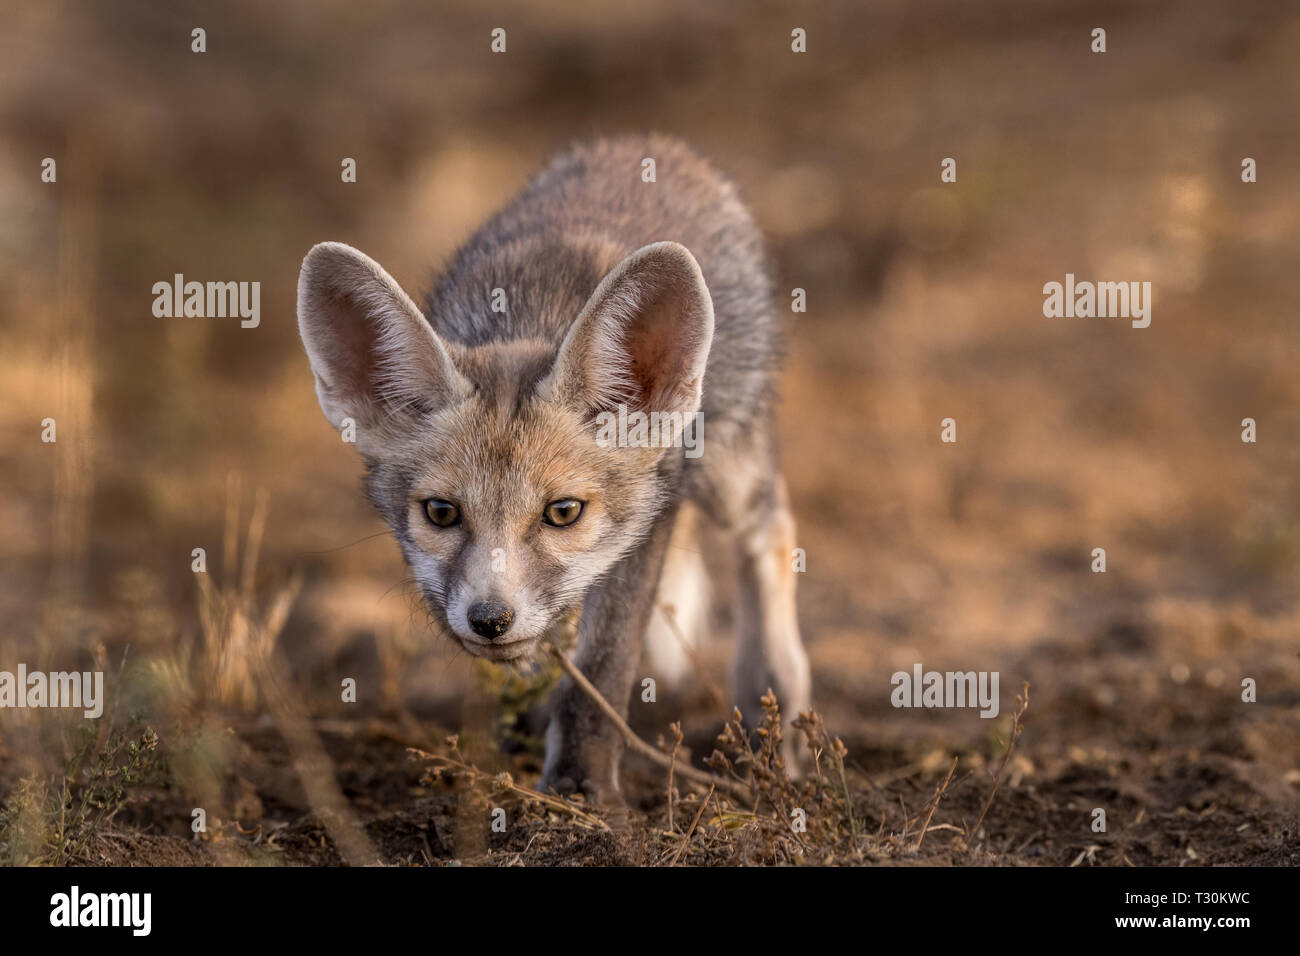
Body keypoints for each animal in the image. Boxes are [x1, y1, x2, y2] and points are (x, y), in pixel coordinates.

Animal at [296, 134, 810, 807]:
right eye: (441, 512)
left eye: (563, 512)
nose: (490, 620)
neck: (531, 315)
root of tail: (647, 144)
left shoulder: (648, 524)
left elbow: (599, 670)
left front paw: (581, 789)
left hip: (727, 469)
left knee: (770, 531)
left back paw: (772, 697)